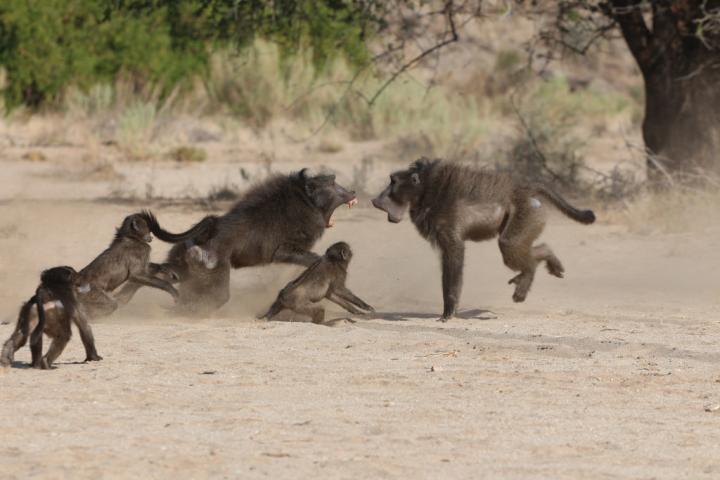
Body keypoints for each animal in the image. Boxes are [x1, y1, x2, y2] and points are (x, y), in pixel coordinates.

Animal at [118, 169, 359, 314]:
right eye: (333, 182)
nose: (353, 193)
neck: (305, 200)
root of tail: (211, 225)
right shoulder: (283, 250)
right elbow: (312, 259)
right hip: (211, 263)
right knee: (218, 297)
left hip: (186, 259)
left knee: (166, 273)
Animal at [371, 157, 595, 321]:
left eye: (392, 182)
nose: (375, 200)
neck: (426, 190)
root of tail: (525, 189)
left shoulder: (449, 230)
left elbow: (454, 255)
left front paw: (448, 312)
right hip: (531, 217)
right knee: (529, 247)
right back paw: (548, 259)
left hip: (525, 213)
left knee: (509, 245)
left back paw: (527, 277)